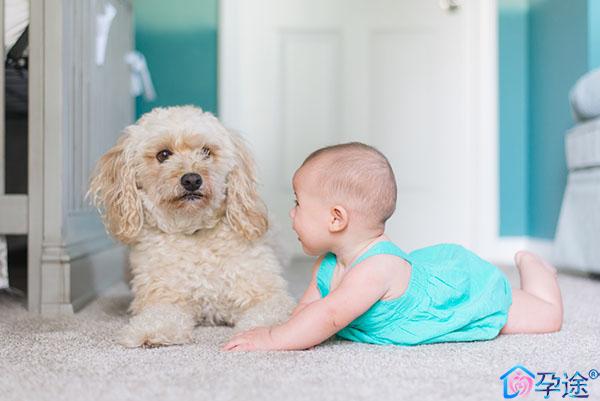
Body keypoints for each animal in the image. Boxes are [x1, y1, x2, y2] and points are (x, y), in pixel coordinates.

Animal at [89, 105, 296, 346]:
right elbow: (159, 316)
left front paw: (260, 333)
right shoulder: (164, 298)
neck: (194, 231)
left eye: (206, 151)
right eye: (163, 155)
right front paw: (150, 331)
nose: (191, 180)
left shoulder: (268, 295)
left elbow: (268, 313)